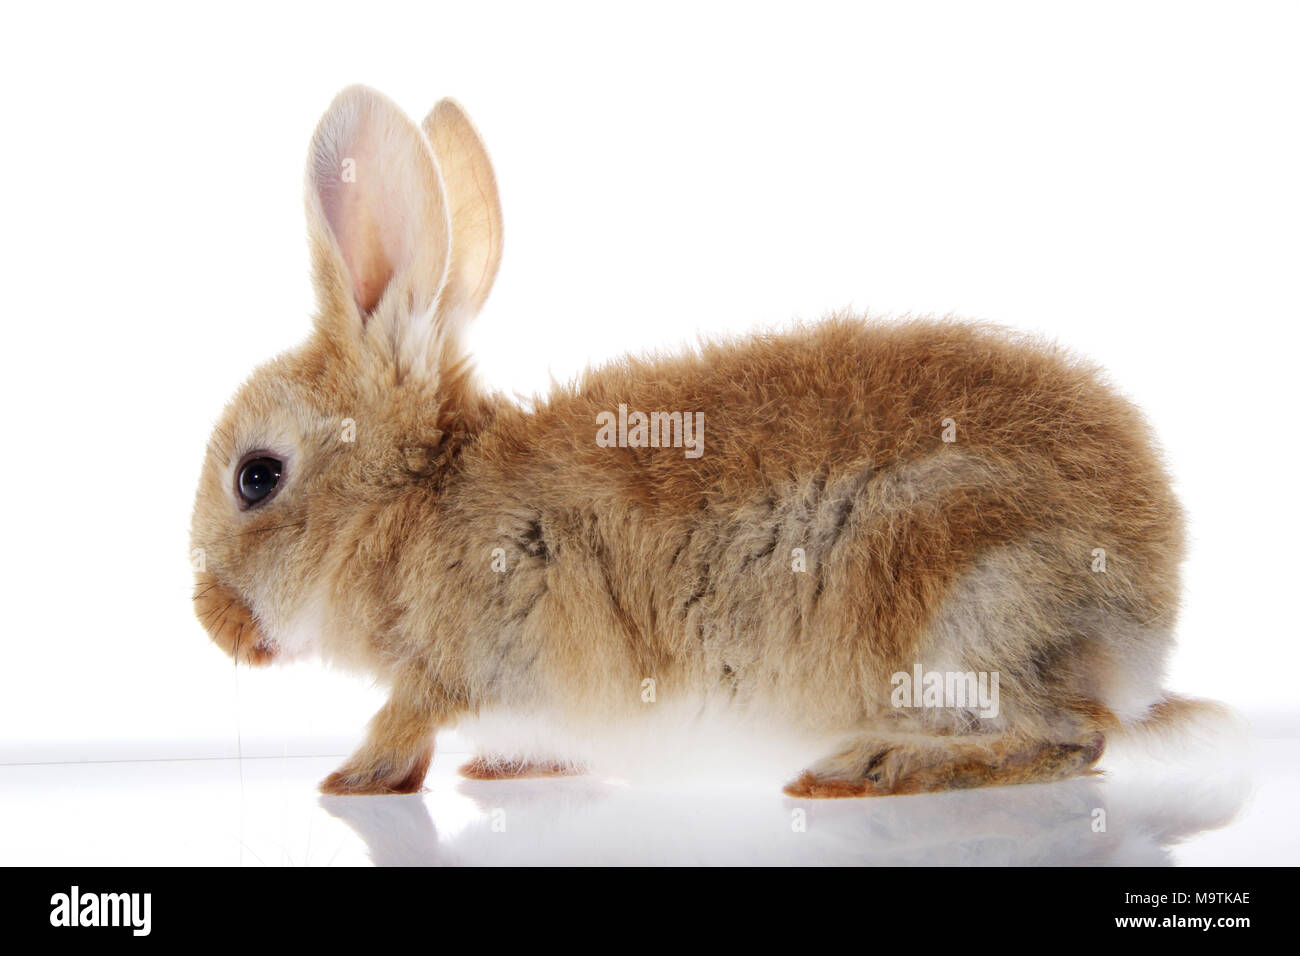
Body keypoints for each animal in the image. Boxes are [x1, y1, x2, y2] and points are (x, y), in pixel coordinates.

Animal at [191, 85, 1223, 798]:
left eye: (258, 476)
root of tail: (1146, 618)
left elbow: (406, 716)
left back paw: (869, 767)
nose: (213, 625)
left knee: (1070, 737)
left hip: (959, 603)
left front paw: (351, 779)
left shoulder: (467, 657)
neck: (415, 511)